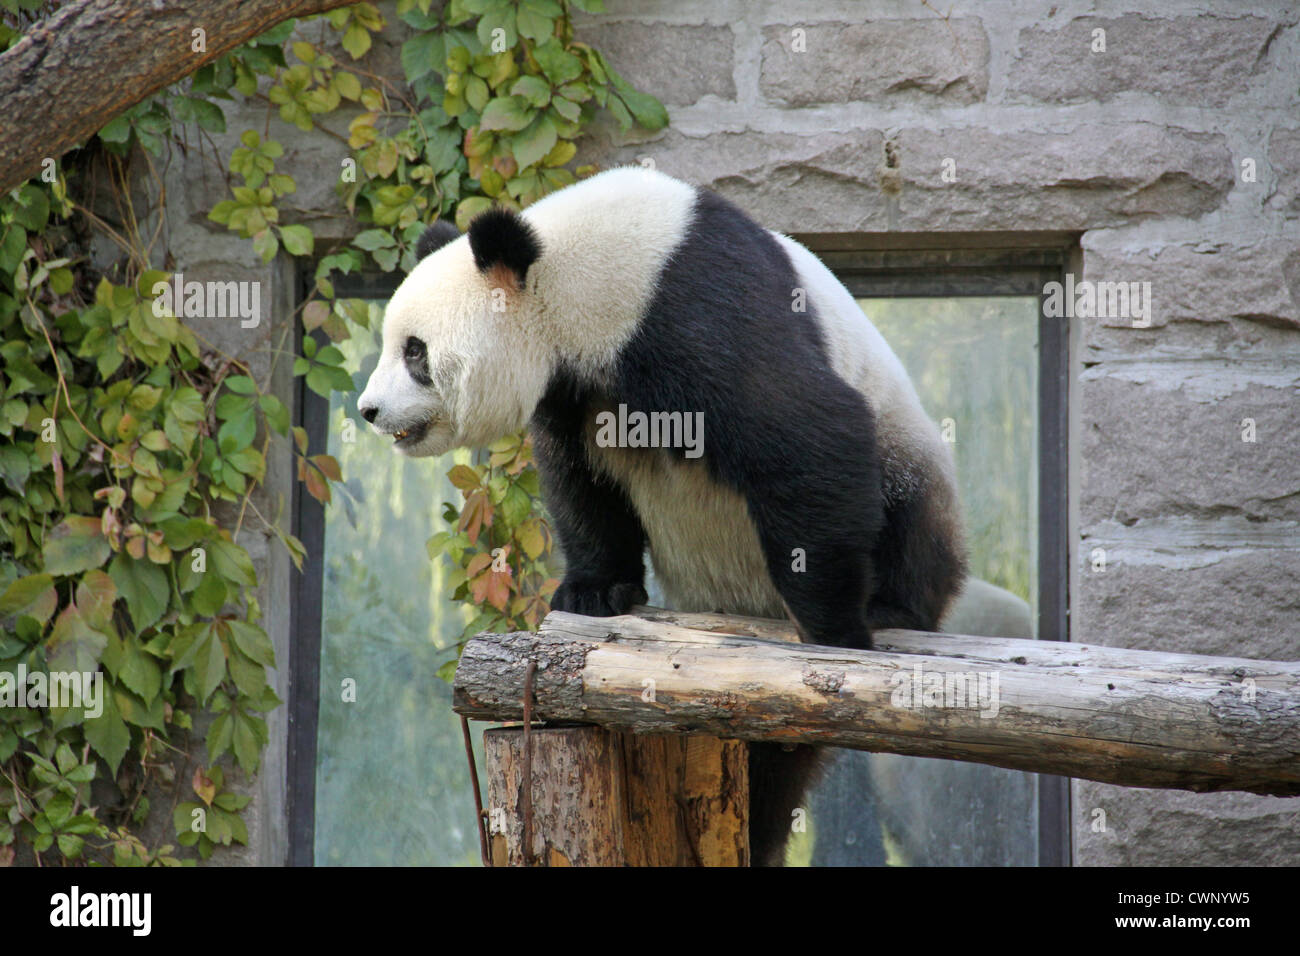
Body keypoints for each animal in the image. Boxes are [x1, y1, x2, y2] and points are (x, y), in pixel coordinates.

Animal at [357, 165, 967, 866]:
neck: (576, 273)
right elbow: (581, 482)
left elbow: (807, 430)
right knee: (768, 773)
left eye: (415, 352)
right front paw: (594, 591)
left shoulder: (694, 306)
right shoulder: (576, 389)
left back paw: (892, 606)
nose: (369, 410)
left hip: (908, 454)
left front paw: (836, 631)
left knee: (908, 518)